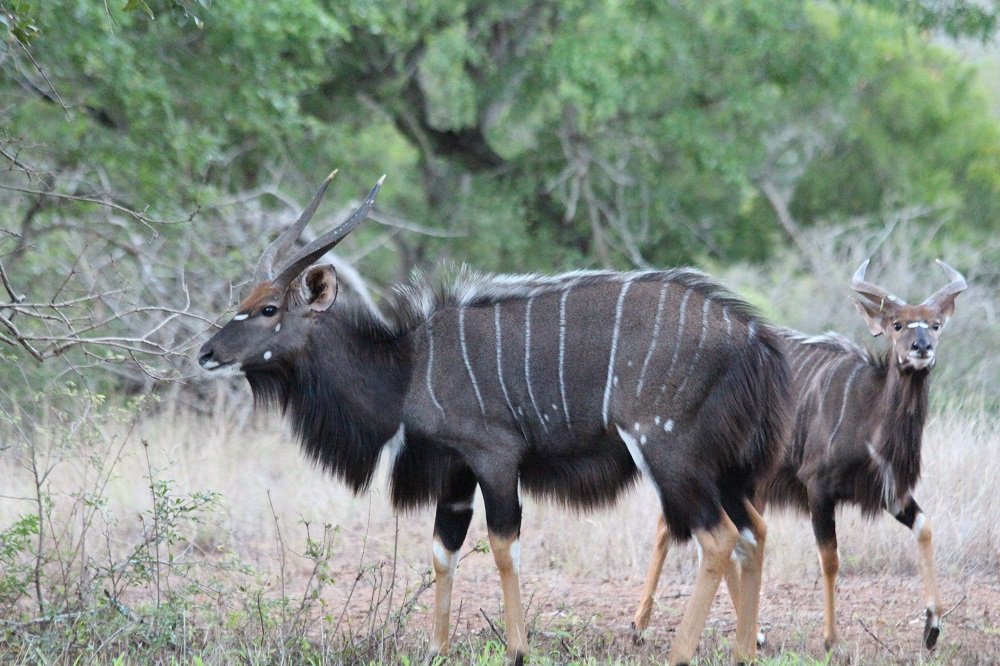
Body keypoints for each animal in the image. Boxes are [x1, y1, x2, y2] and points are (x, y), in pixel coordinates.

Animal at [198, 172, 792, 665]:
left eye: (270, 308)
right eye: (244, 299)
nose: (206, 353)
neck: (407, 369)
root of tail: (754, 339)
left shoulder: (495, 457)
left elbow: (504, 547)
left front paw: (517, 649)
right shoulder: (455, 472)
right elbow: (444, 550)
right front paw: (436, 649)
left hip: (670, 454)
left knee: (718, 538)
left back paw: (680, 653)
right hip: (722, 468)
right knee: (753, 532)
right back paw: (743, 652)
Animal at [632, 259, 966, 652]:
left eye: (935, 324)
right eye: (897, 324)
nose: (921, 348)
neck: (868, 411)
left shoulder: (889, 492)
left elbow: (924, 527)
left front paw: (932, 627)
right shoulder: (818, 487)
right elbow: (830, 558)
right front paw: (830, 639)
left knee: (694, 532)